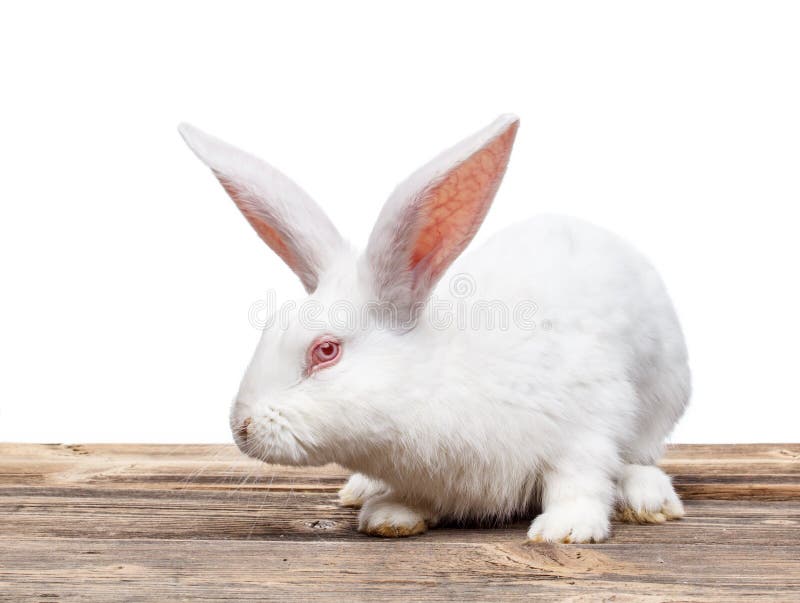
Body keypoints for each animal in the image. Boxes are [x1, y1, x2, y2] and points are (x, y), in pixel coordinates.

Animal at [178, 114, 690, 543]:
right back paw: (361, 490)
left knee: (639, 456)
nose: (241, 427)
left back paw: (648, 497)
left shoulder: (585, 423)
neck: (428, 382)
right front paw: (391, 516)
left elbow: (577, 481)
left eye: (325, 351)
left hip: (662, 395)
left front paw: (564, 531)